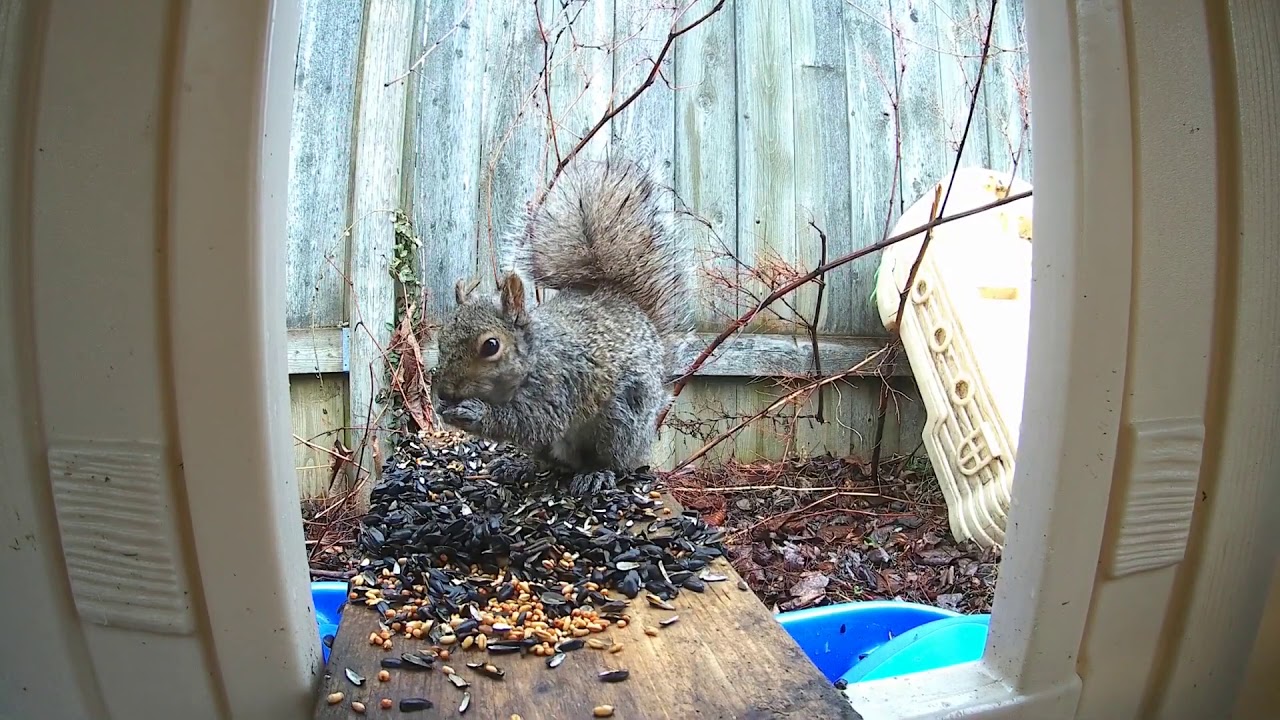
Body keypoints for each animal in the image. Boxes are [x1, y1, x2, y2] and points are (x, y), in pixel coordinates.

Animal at [430, 157, 694, 496]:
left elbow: (534, 421)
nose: (445, 393)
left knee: (612, 460)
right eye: (441, 338)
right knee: (550, 461)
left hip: (619, 420)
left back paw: (596, 473)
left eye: (491, 345)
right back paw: (521, 466)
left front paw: (474, 413)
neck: (534, 357)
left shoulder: (562, 384)